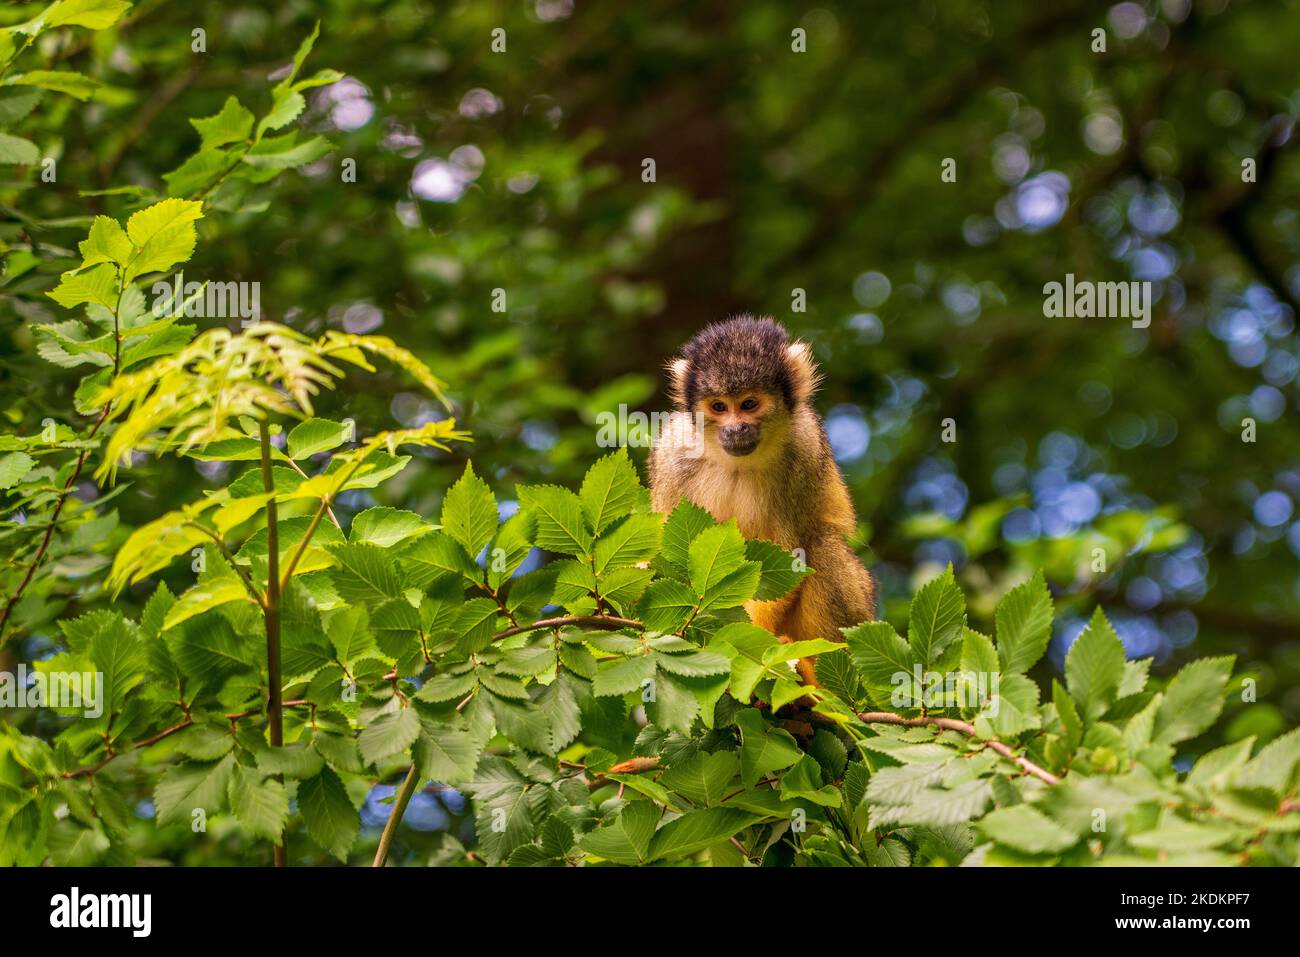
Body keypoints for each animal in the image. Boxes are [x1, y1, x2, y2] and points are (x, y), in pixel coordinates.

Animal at [648, 315, 875, 687]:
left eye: (749, 404)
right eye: (719, 407)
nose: (735, 429)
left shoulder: (803, 450)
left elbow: (791, 556)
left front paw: (753, 647)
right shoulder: (673, 448)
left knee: (824, 544)